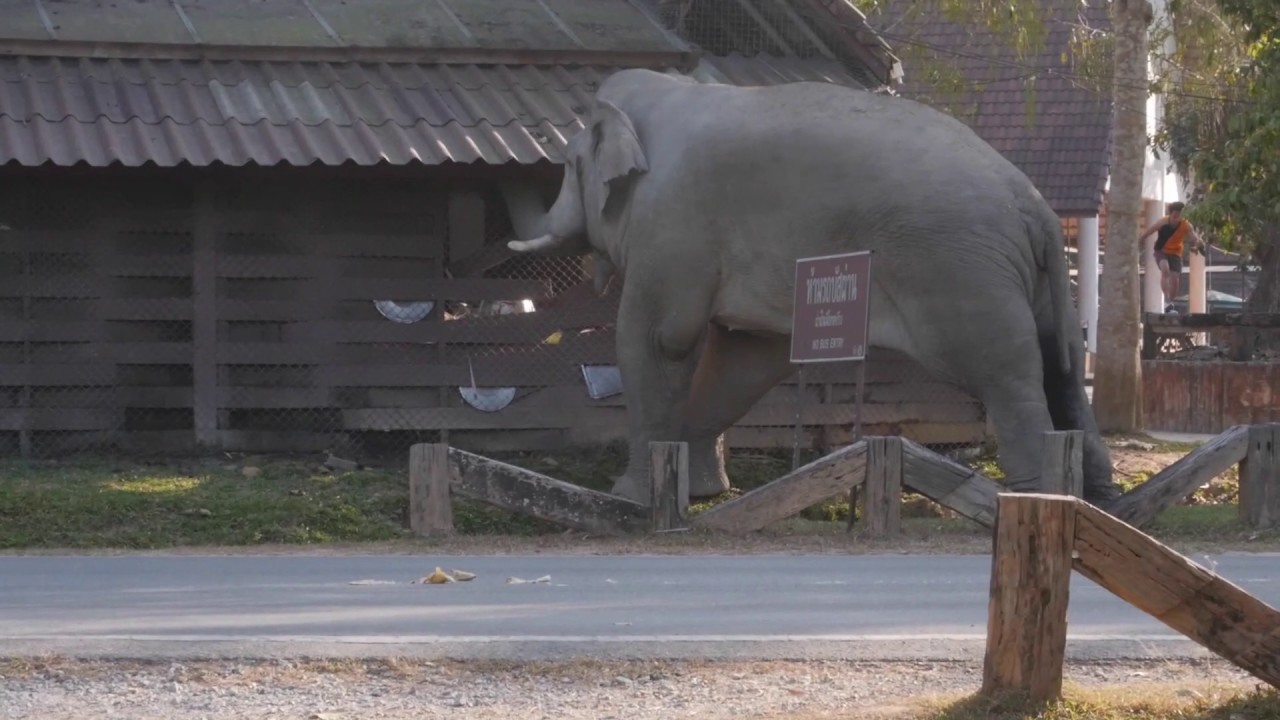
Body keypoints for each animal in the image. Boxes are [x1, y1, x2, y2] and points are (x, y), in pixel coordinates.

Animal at [508, 68, 1120, 509]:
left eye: (569, 164)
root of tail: (1032, 202)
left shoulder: (671, 226)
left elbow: (662, 341)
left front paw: (631, 498)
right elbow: (745, 357)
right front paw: (703, 492)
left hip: (964, 276)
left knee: (1009, 375)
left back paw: (1036, 498)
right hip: (1034, 283)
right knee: (1061, 367)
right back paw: (1108, 504)